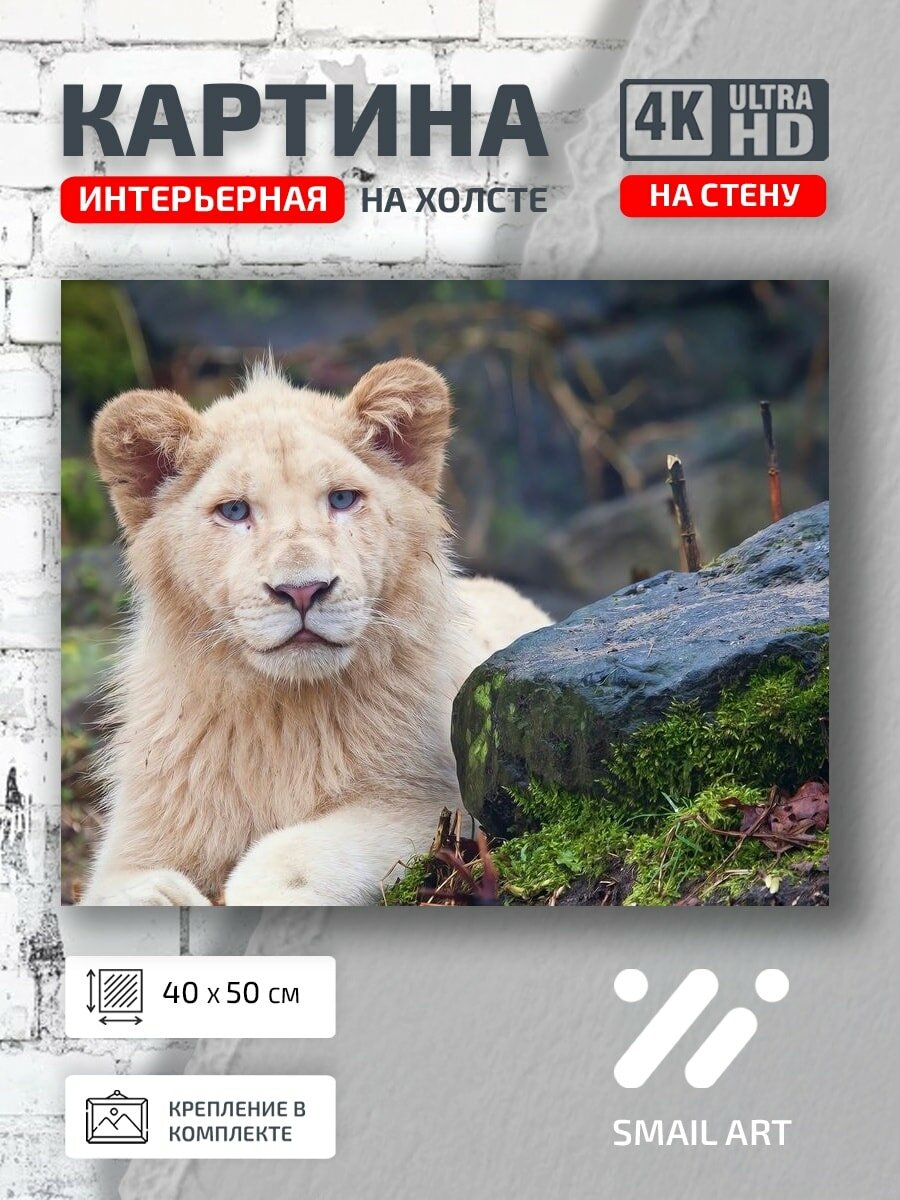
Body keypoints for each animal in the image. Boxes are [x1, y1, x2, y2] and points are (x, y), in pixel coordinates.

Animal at [80, 358, 549, 905]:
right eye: (234, 510)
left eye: (342, 499)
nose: (302, 590)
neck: (284, 714)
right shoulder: (138, 838)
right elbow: (122, 888)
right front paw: (163, 896)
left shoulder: (433, 801)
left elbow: (295, 854)